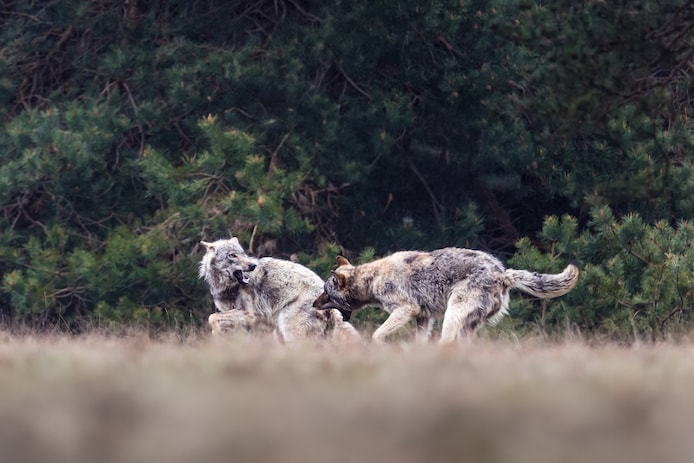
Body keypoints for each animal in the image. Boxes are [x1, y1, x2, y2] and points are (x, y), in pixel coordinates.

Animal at [199, 237, 360, 343]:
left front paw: (216, 334)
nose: (252, 266)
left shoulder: (248, 314)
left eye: (242, 254)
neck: (228, 286)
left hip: (288, 329)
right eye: (232, 255)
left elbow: (211, 317)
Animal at [313, 248, 579, 344]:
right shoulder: (423, 318)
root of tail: (503, 273)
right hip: (466, 325)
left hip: (453, 315)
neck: (371, 278)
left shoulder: (405, 310)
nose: (313, 304)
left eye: (326, 292)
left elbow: (377, 334)